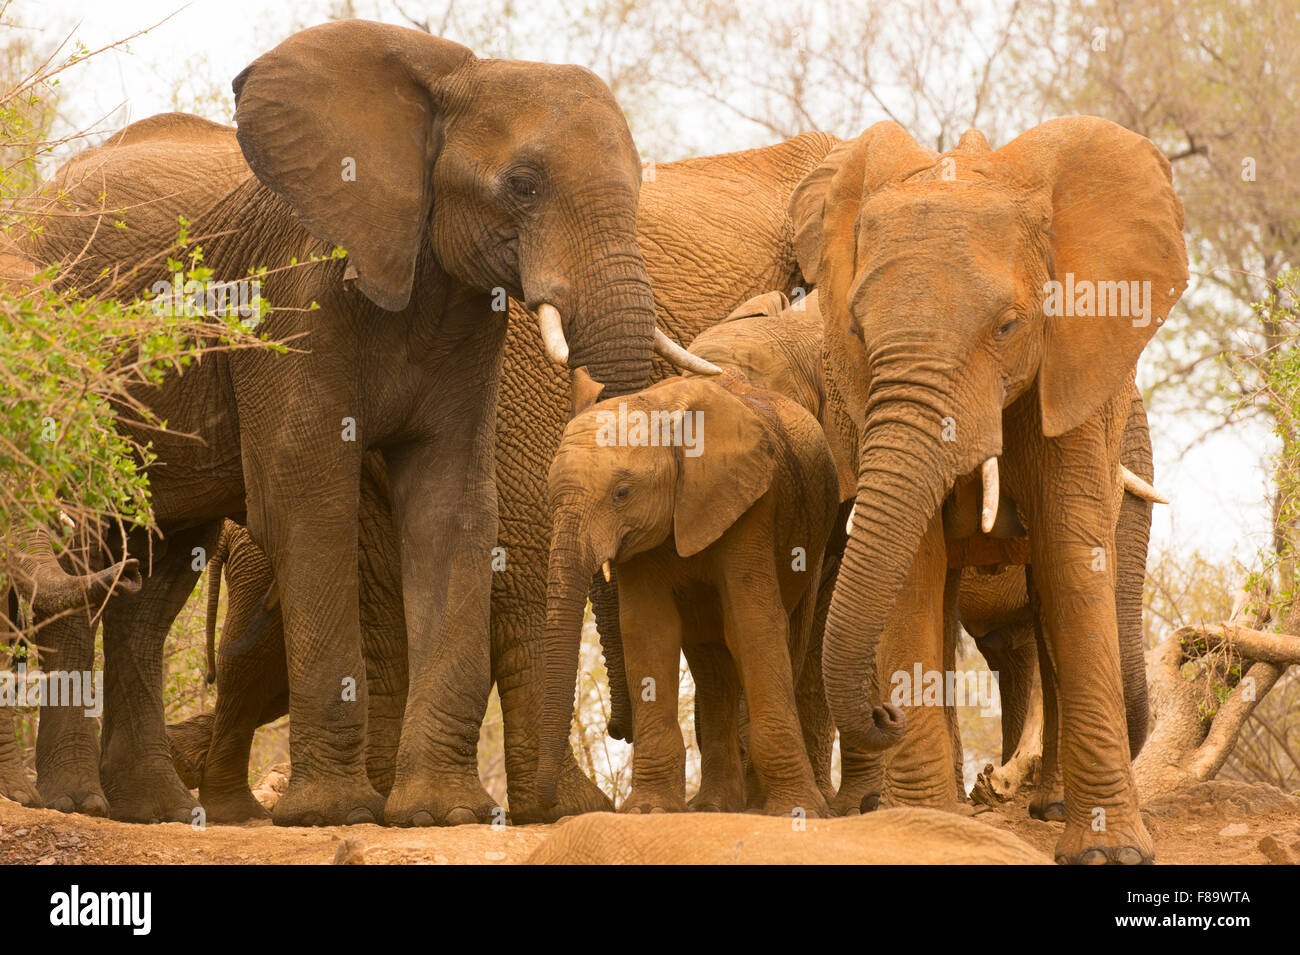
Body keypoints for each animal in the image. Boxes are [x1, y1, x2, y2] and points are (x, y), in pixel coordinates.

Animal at [15, 19, 683, 827]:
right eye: (523, 186)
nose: (617, 731)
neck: (447, 84)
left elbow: (452, 508)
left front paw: (440, 813)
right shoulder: (292, 294)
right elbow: (309, 501)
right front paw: (334, 813)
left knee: (155, 575)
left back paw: (158, 810)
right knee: (82, 552)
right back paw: (77, 803)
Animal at [536, 372, 841, 817]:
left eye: (622, 493)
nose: (549, 803)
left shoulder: (751, 508)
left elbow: (753, 625)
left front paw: (795, 812)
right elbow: (648, 631)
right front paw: (647, 811)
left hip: (813, 536)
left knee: (785, 639)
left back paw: (756, 804)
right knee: (711, 662)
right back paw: (714, 806)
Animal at [787, 118, 1187, 863]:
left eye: (1007, 326)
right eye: (856, 329)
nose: (883, 711)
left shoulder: (1070, 376)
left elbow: (1069, 560)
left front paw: (1109, 854)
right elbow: (914, 572)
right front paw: (924, 832)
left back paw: (1048, 806)